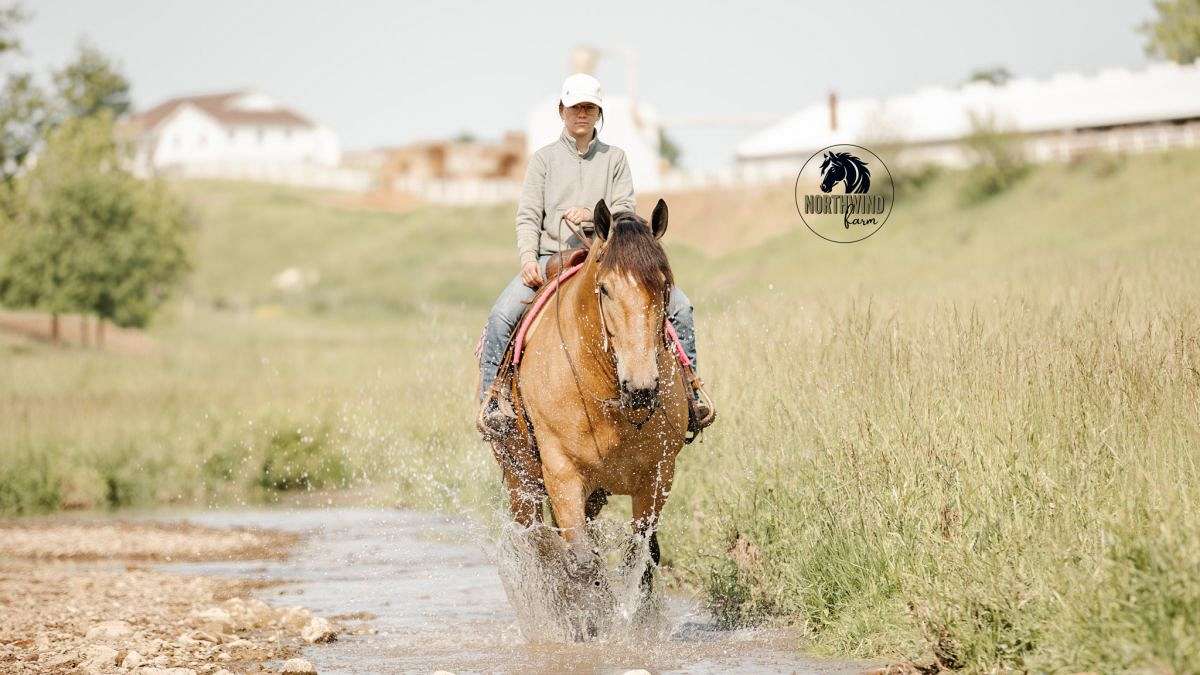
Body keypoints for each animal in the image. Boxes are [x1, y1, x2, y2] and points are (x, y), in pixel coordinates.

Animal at [496, 198, 690, 609]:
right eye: (604, 289)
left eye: (664, 285)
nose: (641, 387)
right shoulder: (562, 474)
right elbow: (582, 563)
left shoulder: (658, 476)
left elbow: (641, 559)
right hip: (519, 482)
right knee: (537, 547)